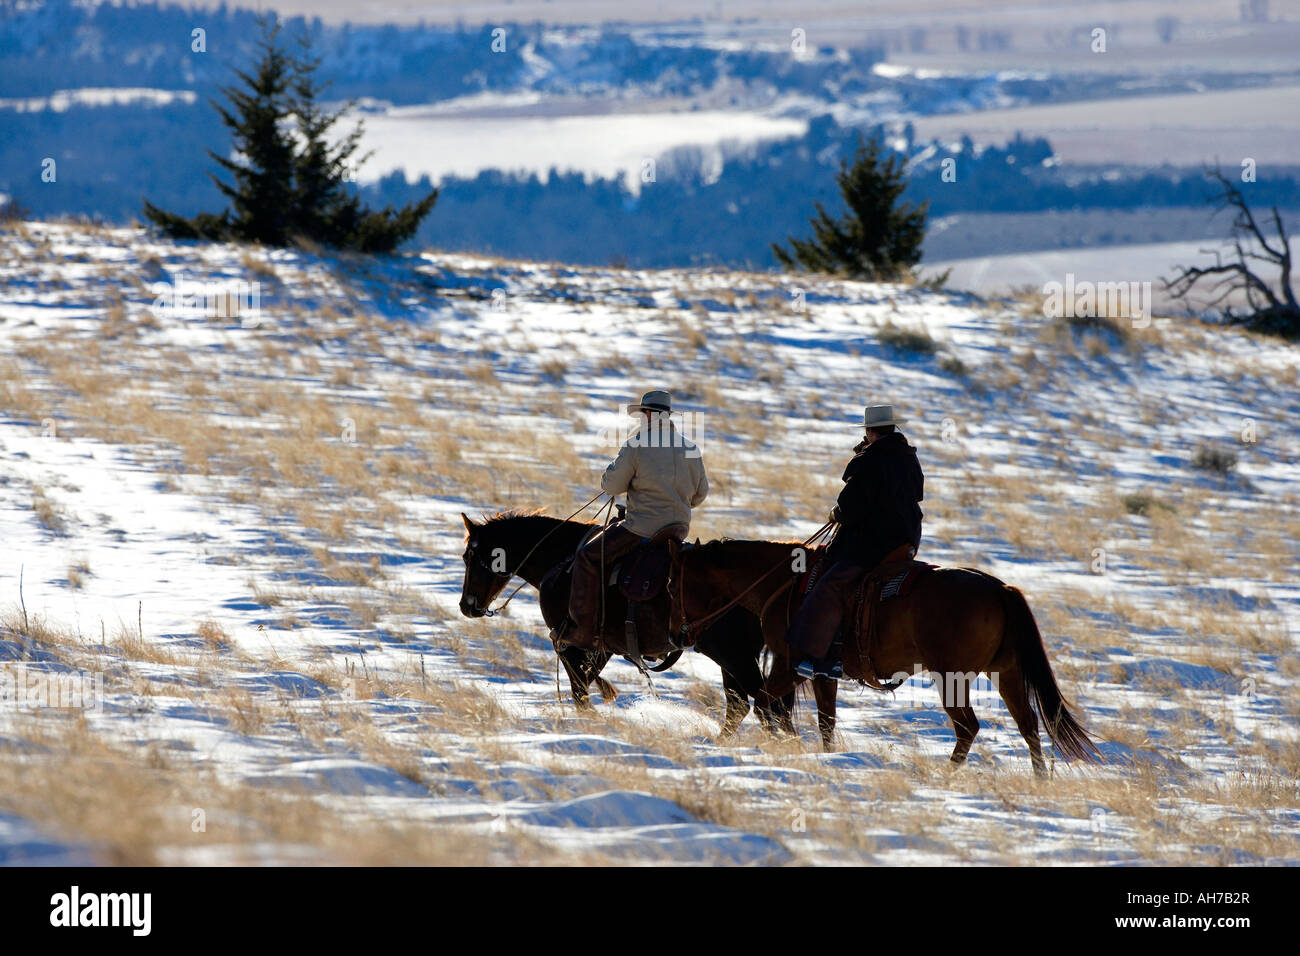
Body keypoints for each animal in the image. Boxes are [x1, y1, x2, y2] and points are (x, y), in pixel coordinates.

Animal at [458, 510, 790, 735]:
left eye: (469, 557)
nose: (467, 606)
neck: (562, 560)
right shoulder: (602, 648)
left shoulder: (570, 643)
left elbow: (579, 691)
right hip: (733, 657)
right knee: (742, 706)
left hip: (734, 654)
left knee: (765, 705)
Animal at [667, 538, 1100, 776]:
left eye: (671, 586)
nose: (675, 635)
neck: (782, 581)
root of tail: (999, 588)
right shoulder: (822, 673)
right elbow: (824, 722)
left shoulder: (791, 664)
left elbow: (766, 705)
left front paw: (788, 747)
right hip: (1006, 673)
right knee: (1029, 725)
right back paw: (1039, 780)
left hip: (951, 677)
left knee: (968, 727)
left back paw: (945, 775)